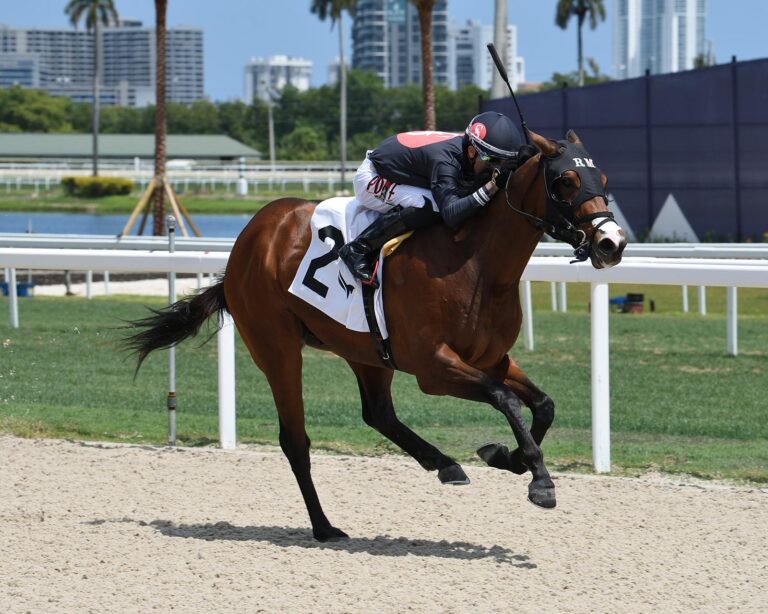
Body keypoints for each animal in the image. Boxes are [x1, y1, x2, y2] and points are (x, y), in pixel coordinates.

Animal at [125, 129, 627, 541]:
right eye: (566, 181)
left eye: (601, 176)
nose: (613, 243)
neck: (477, 263)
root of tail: (249, 238)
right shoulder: (433, 367)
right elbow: (505, 398)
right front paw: (539, 481)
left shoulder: (491, 359)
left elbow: (542, 404)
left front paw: (510, 457)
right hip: (277, 347)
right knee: (296, 440)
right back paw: (325, 526)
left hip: (364, 348)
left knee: (379, 413)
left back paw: (444, 464)